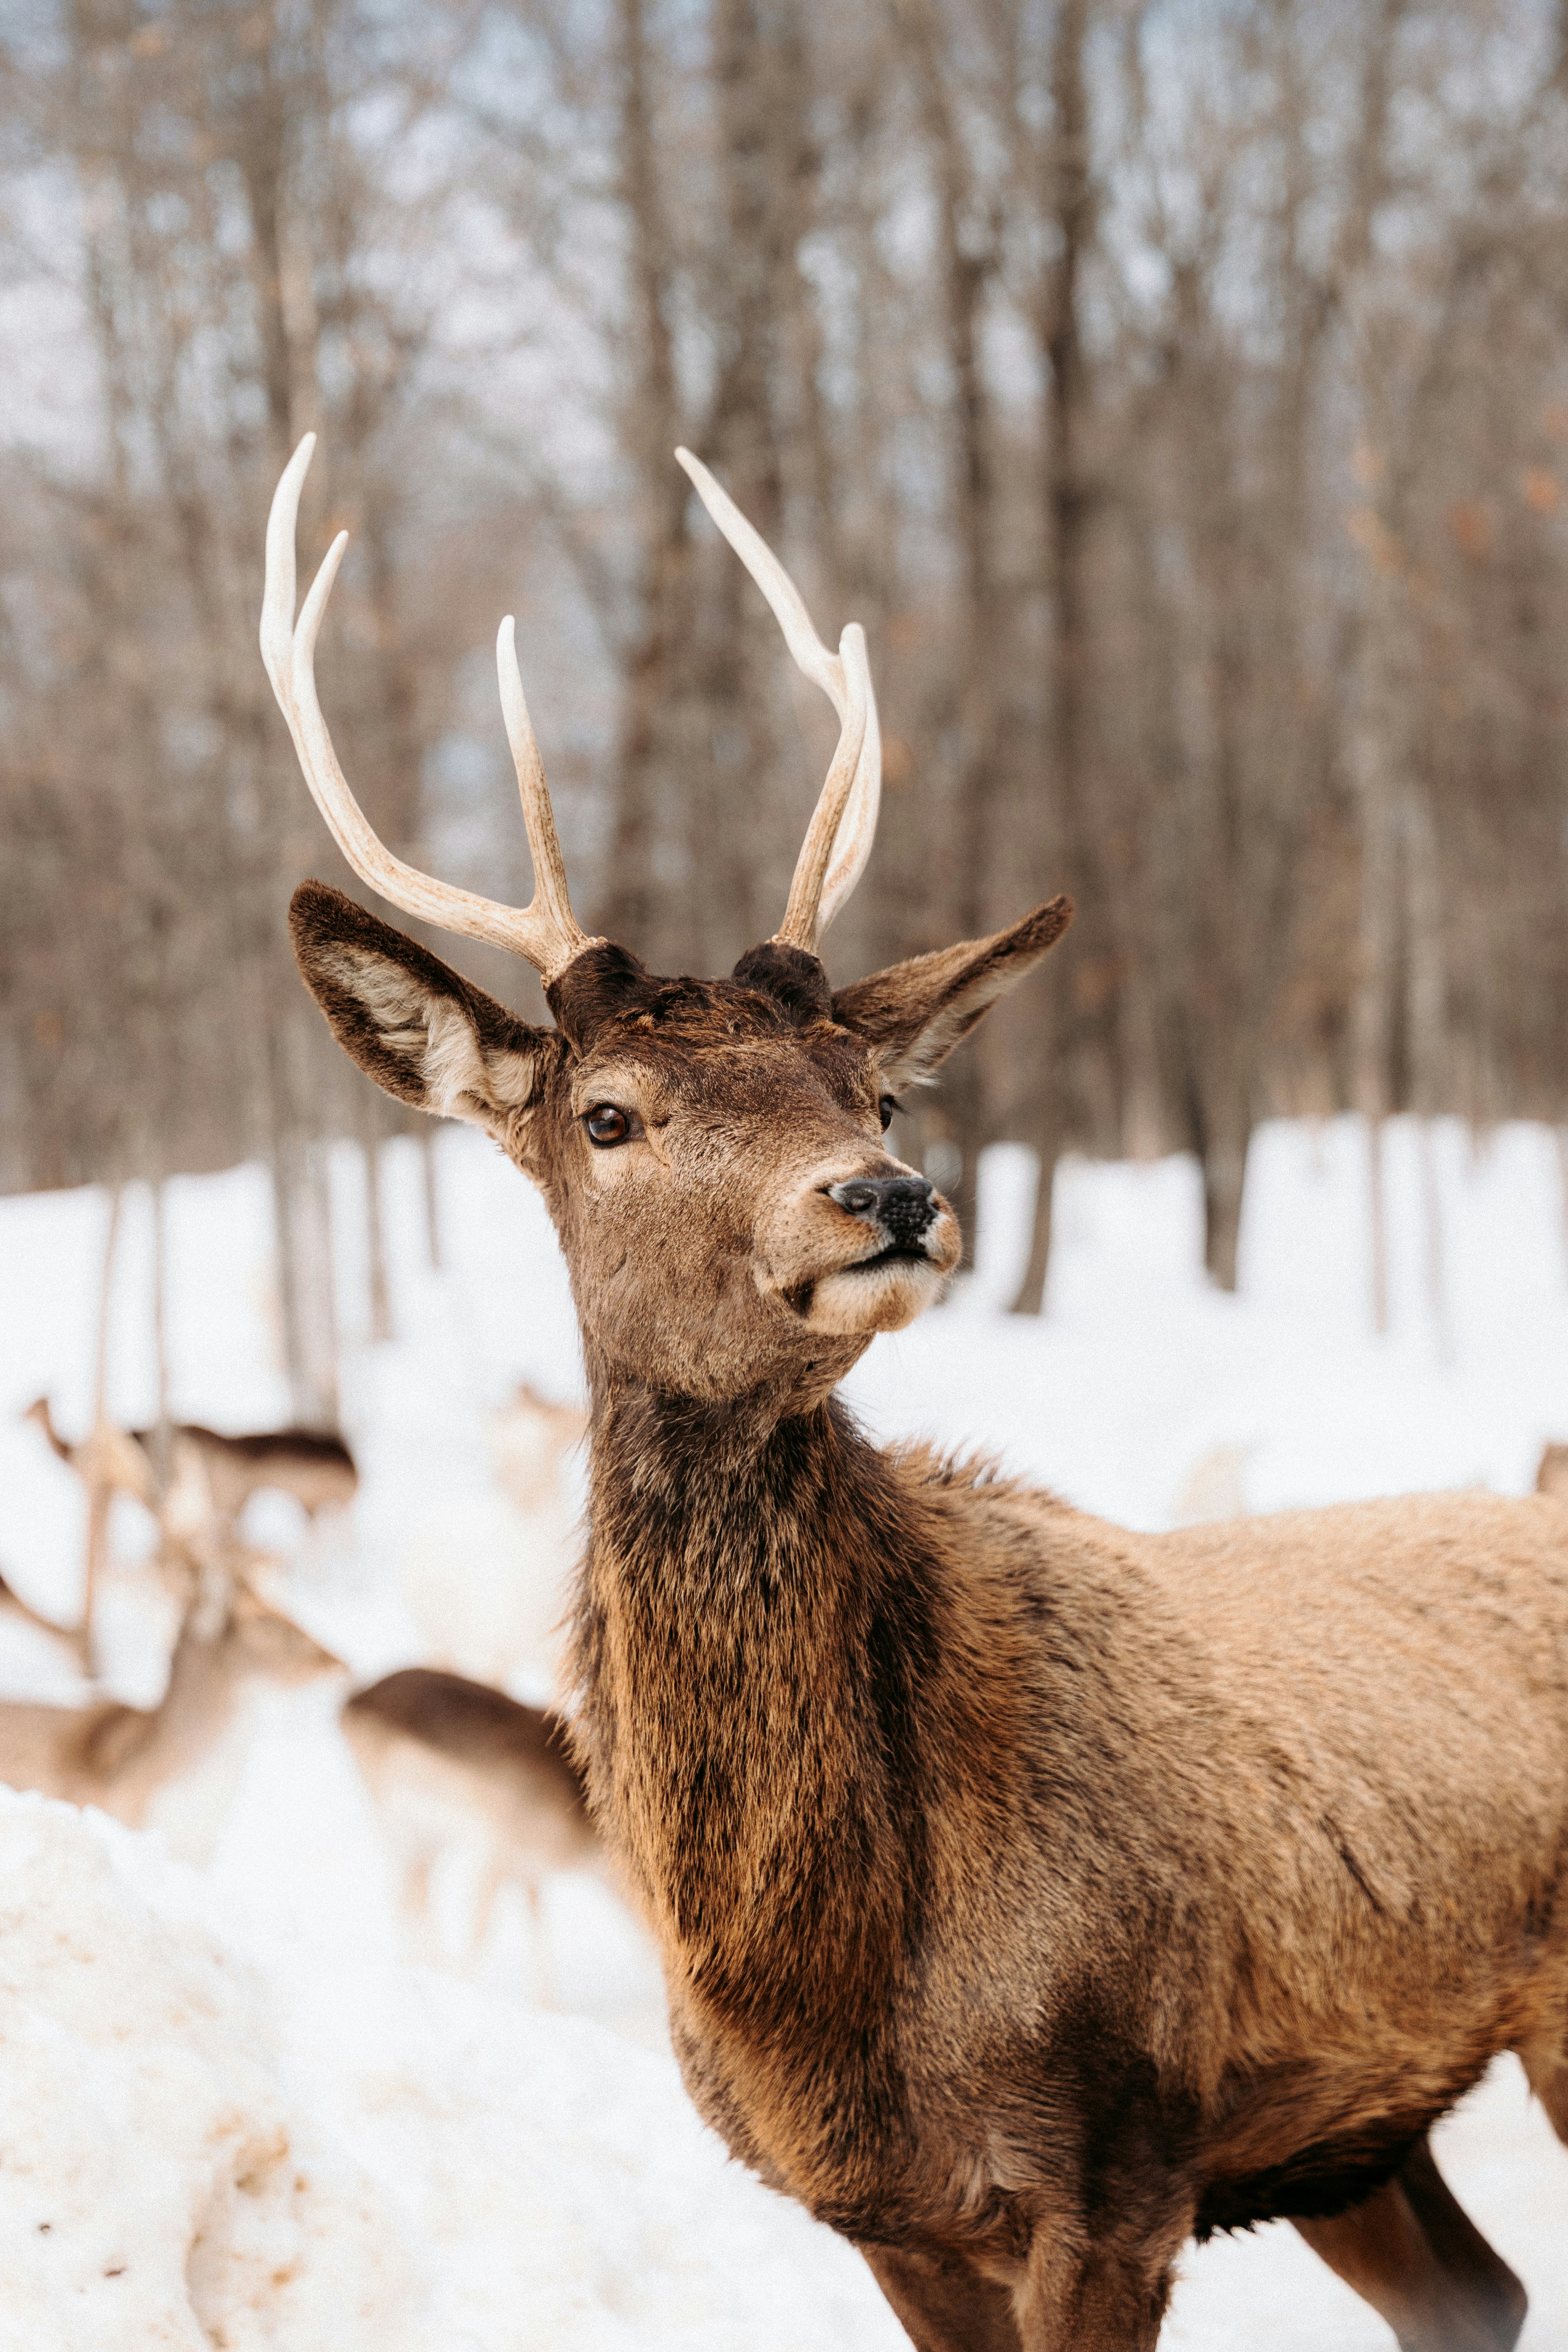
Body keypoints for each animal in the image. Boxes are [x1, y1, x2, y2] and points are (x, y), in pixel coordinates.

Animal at [340, 1666, 604, 1992]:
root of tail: (350, 1701)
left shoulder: (529, 1872)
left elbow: (536, 1923)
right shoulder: (498, 1856)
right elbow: (481, 1928)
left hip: (429, 1836)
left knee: (416, 1890)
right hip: (397, 1823)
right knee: (404, 1896)